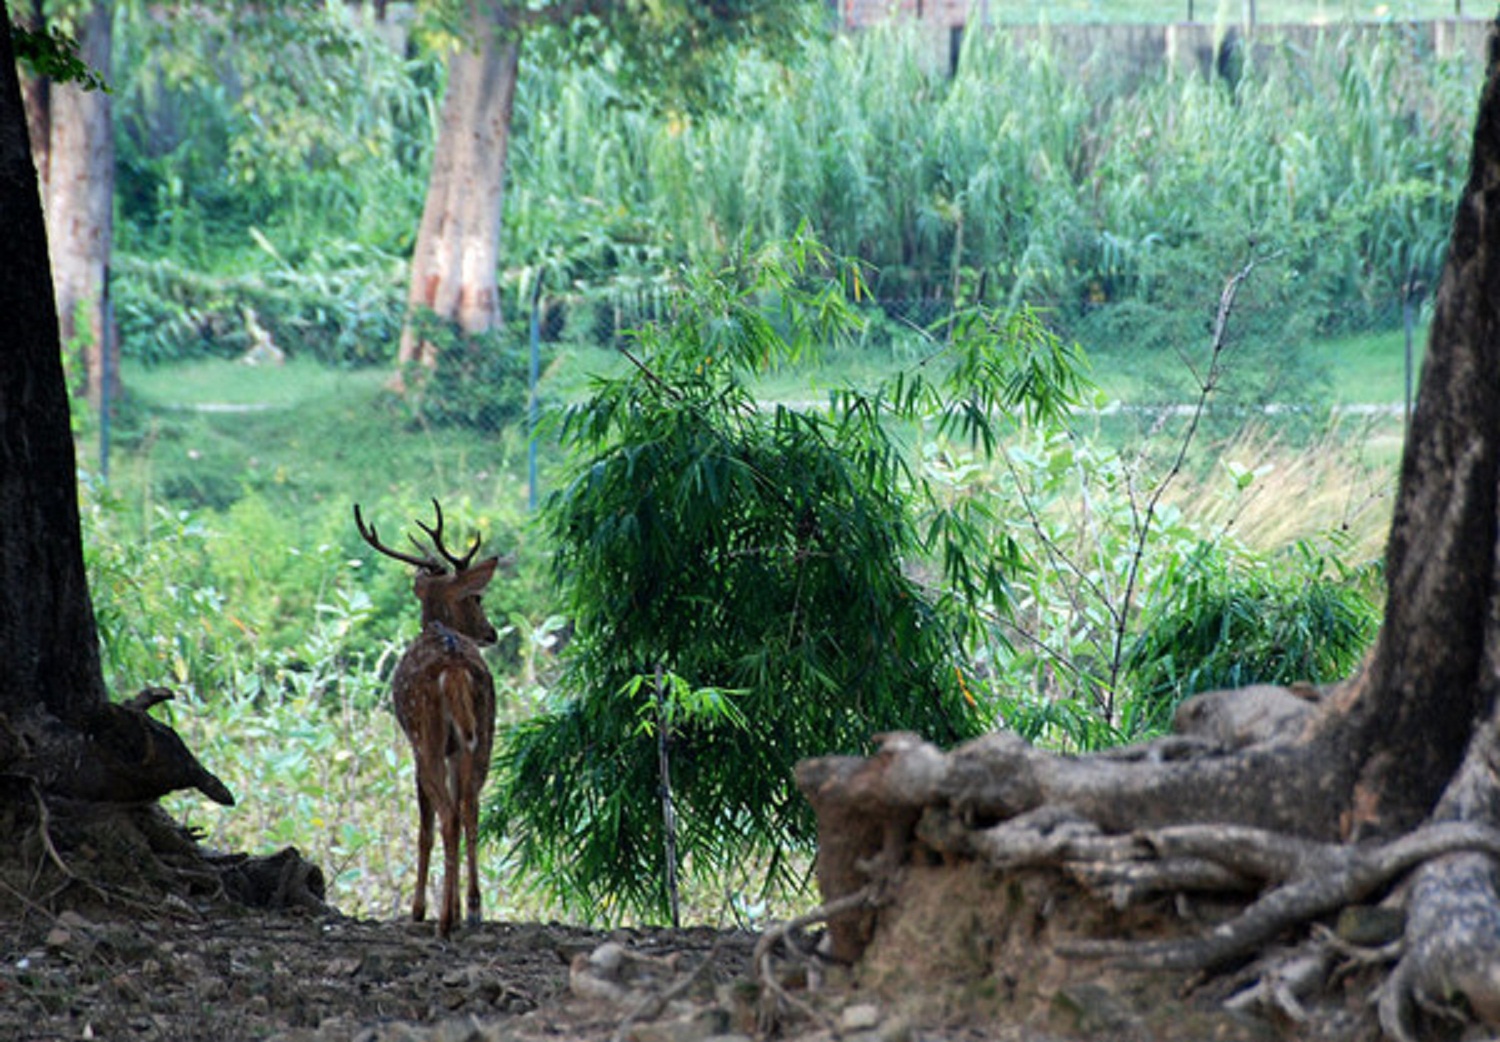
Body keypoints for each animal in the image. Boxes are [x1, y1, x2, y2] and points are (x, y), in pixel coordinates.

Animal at [354, 499, 501, 937]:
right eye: (477, 599)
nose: (492, 633)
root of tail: (453, 668)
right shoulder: (461, 747)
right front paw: (467, 905)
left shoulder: (415, 747)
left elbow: (424, 827)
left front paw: (418, 909)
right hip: (483, 732)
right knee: (470, 806)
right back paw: (472, 908)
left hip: (426, 735)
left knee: (447, 815)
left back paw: (443, 920)